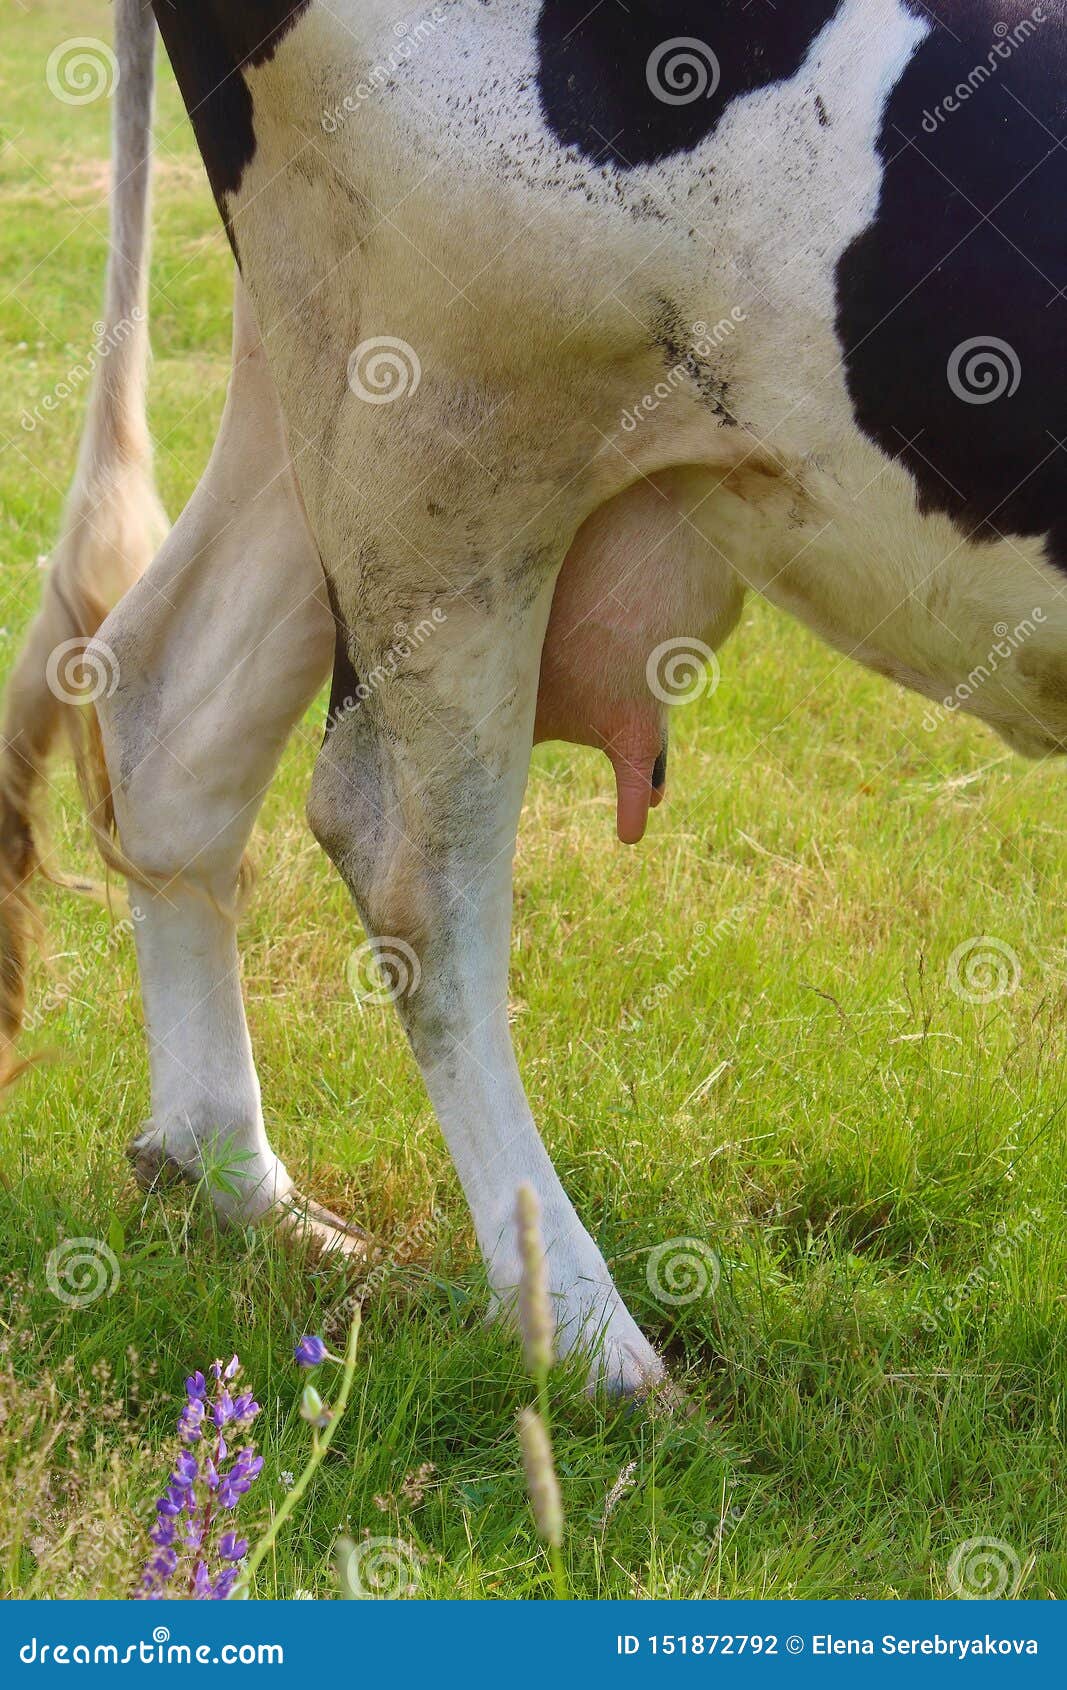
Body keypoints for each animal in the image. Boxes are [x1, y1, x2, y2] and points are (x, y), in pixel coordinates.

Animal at [2, 0, 1065, 1394]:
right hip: (451, 427)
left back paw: (240, 1189)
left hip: (319, 371)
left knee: (168, 713)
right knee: (410, 862)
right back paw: (588, 1331)